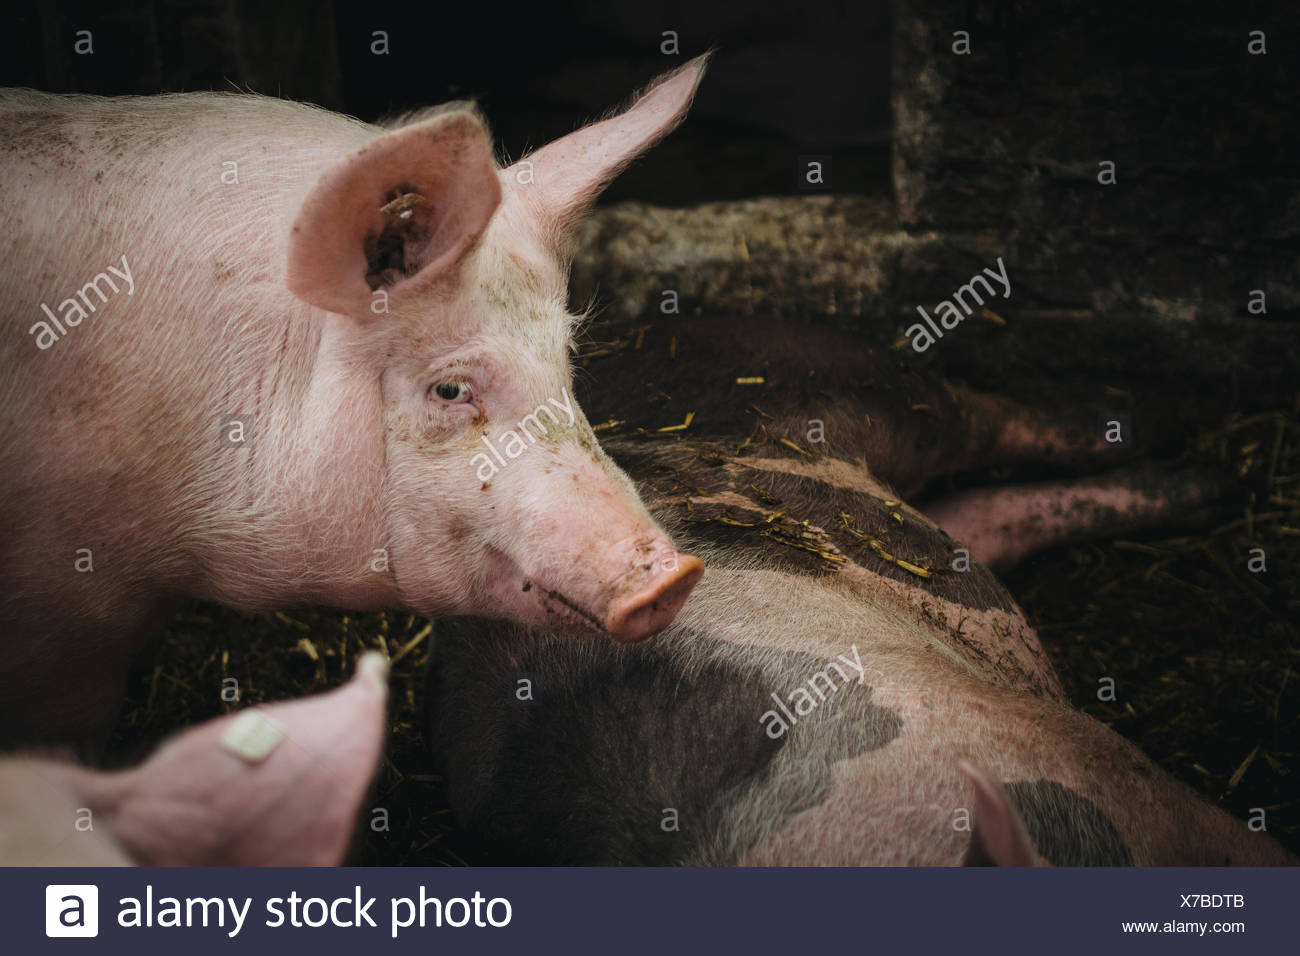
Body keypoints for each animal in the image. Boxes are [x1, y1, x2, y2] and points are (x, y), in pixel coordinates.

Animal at [426, 314, 1296, 866]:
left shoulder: (1114, 777)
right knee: (980, 522)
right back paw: (1207, 483)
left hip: (840, 371)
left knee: (996, 412)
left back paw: (1190, 434)